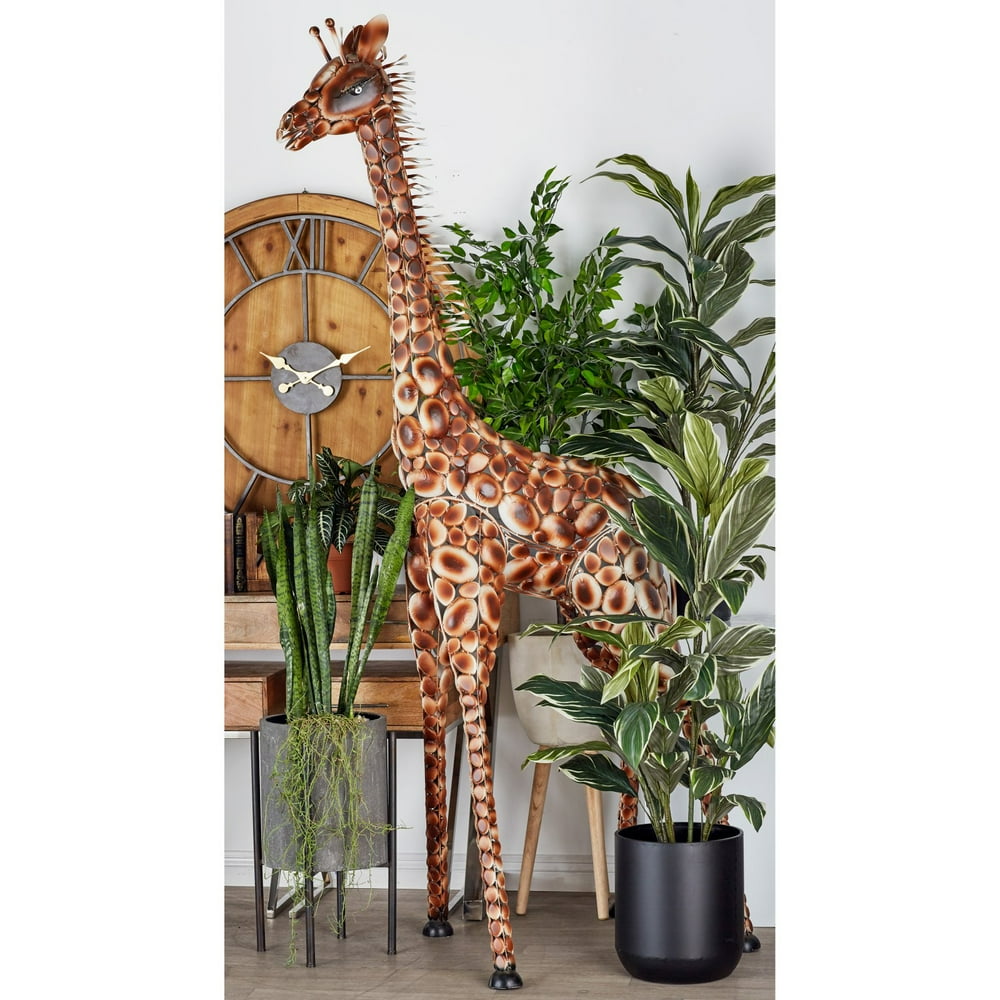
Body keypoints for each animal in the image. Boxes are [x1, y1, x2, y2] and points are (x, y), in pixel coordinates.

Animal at [277, 14, 678, 989]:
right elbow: (436, 746)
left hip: (629, 620)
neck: (435, 445)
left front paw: (502, 957)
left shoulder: (474, 610)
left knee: (681, 719)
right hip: (604, 628)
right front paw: (430, 917)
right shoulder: (424, 610)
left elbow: (478, 752)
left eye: (348, 90)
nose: (289, 125)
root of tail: (650, 528)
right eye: (312, 80)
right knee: (647, 730)